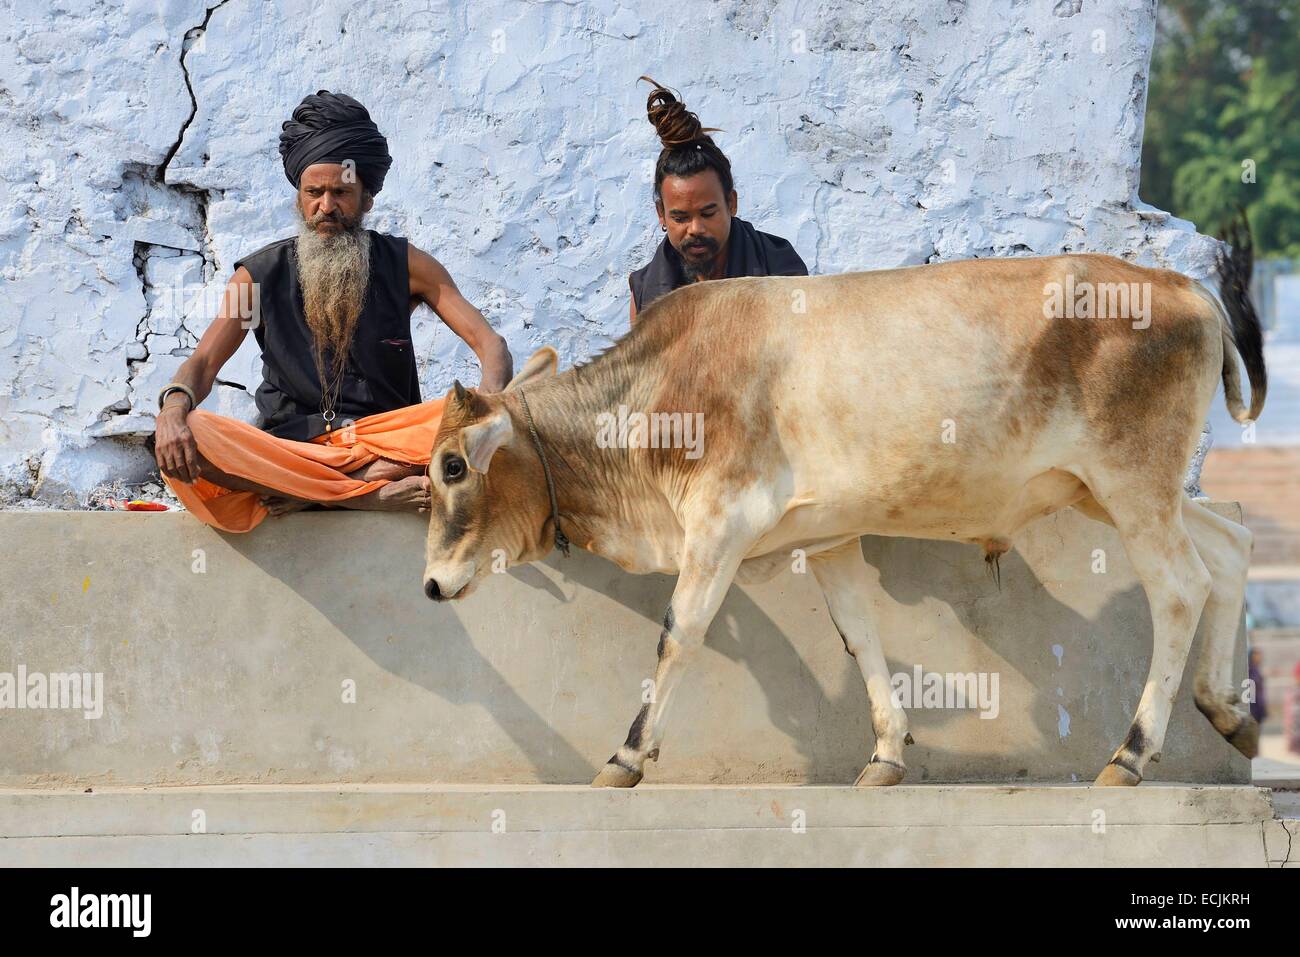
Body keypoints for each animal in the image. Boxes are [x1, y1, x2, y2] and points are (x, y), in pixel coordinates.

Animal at [420, 238, 1266, 789]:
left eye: (452, 465)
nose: (430, 584)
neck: (653, 395)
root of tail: (1181, 285)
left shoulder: (720, 524)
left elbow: (678, 634)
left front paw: (626, 755)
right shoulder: (827, 538)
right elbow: (861, 637)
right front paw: (887, 753)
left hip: (1133, 484)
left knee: (1181, 589)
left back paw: (1132, 753)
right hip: (1123, 491)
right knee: (1230, 550)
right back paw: (1229, 711)